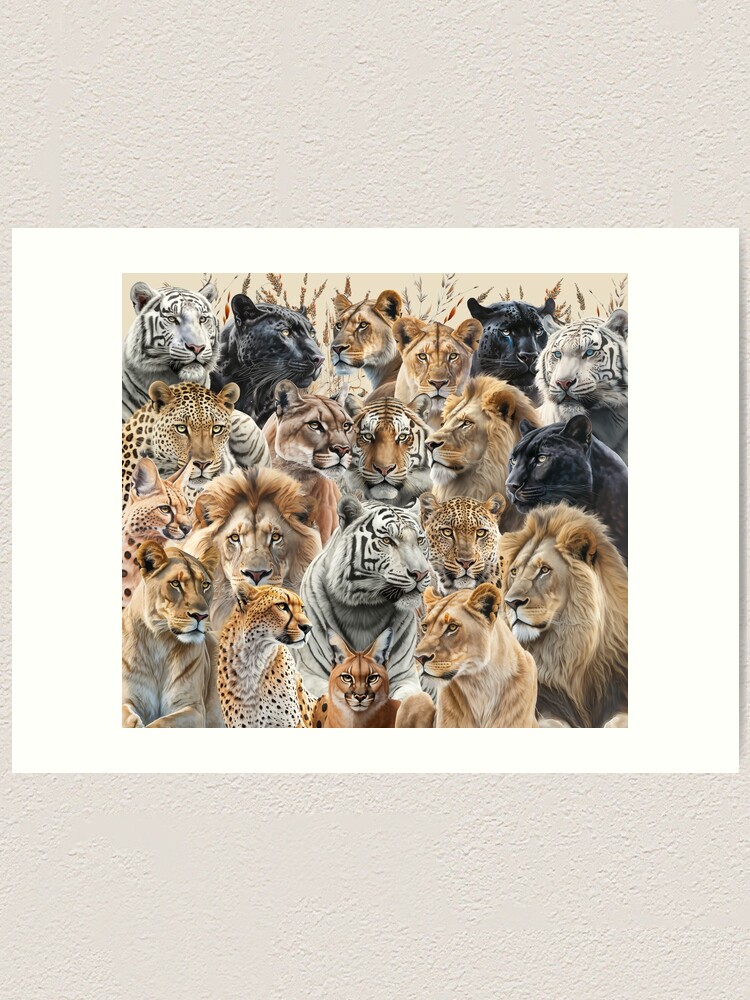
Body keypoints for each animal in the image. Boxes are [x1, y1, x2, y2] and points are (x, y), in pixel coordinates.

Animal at [122, 540, 223, 728]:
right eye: (175, 583)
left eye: (205, 585)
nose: (201, 616)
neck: (159, 641)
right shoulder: (127, 698)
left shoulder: (194, 709)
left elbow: (161, 723)